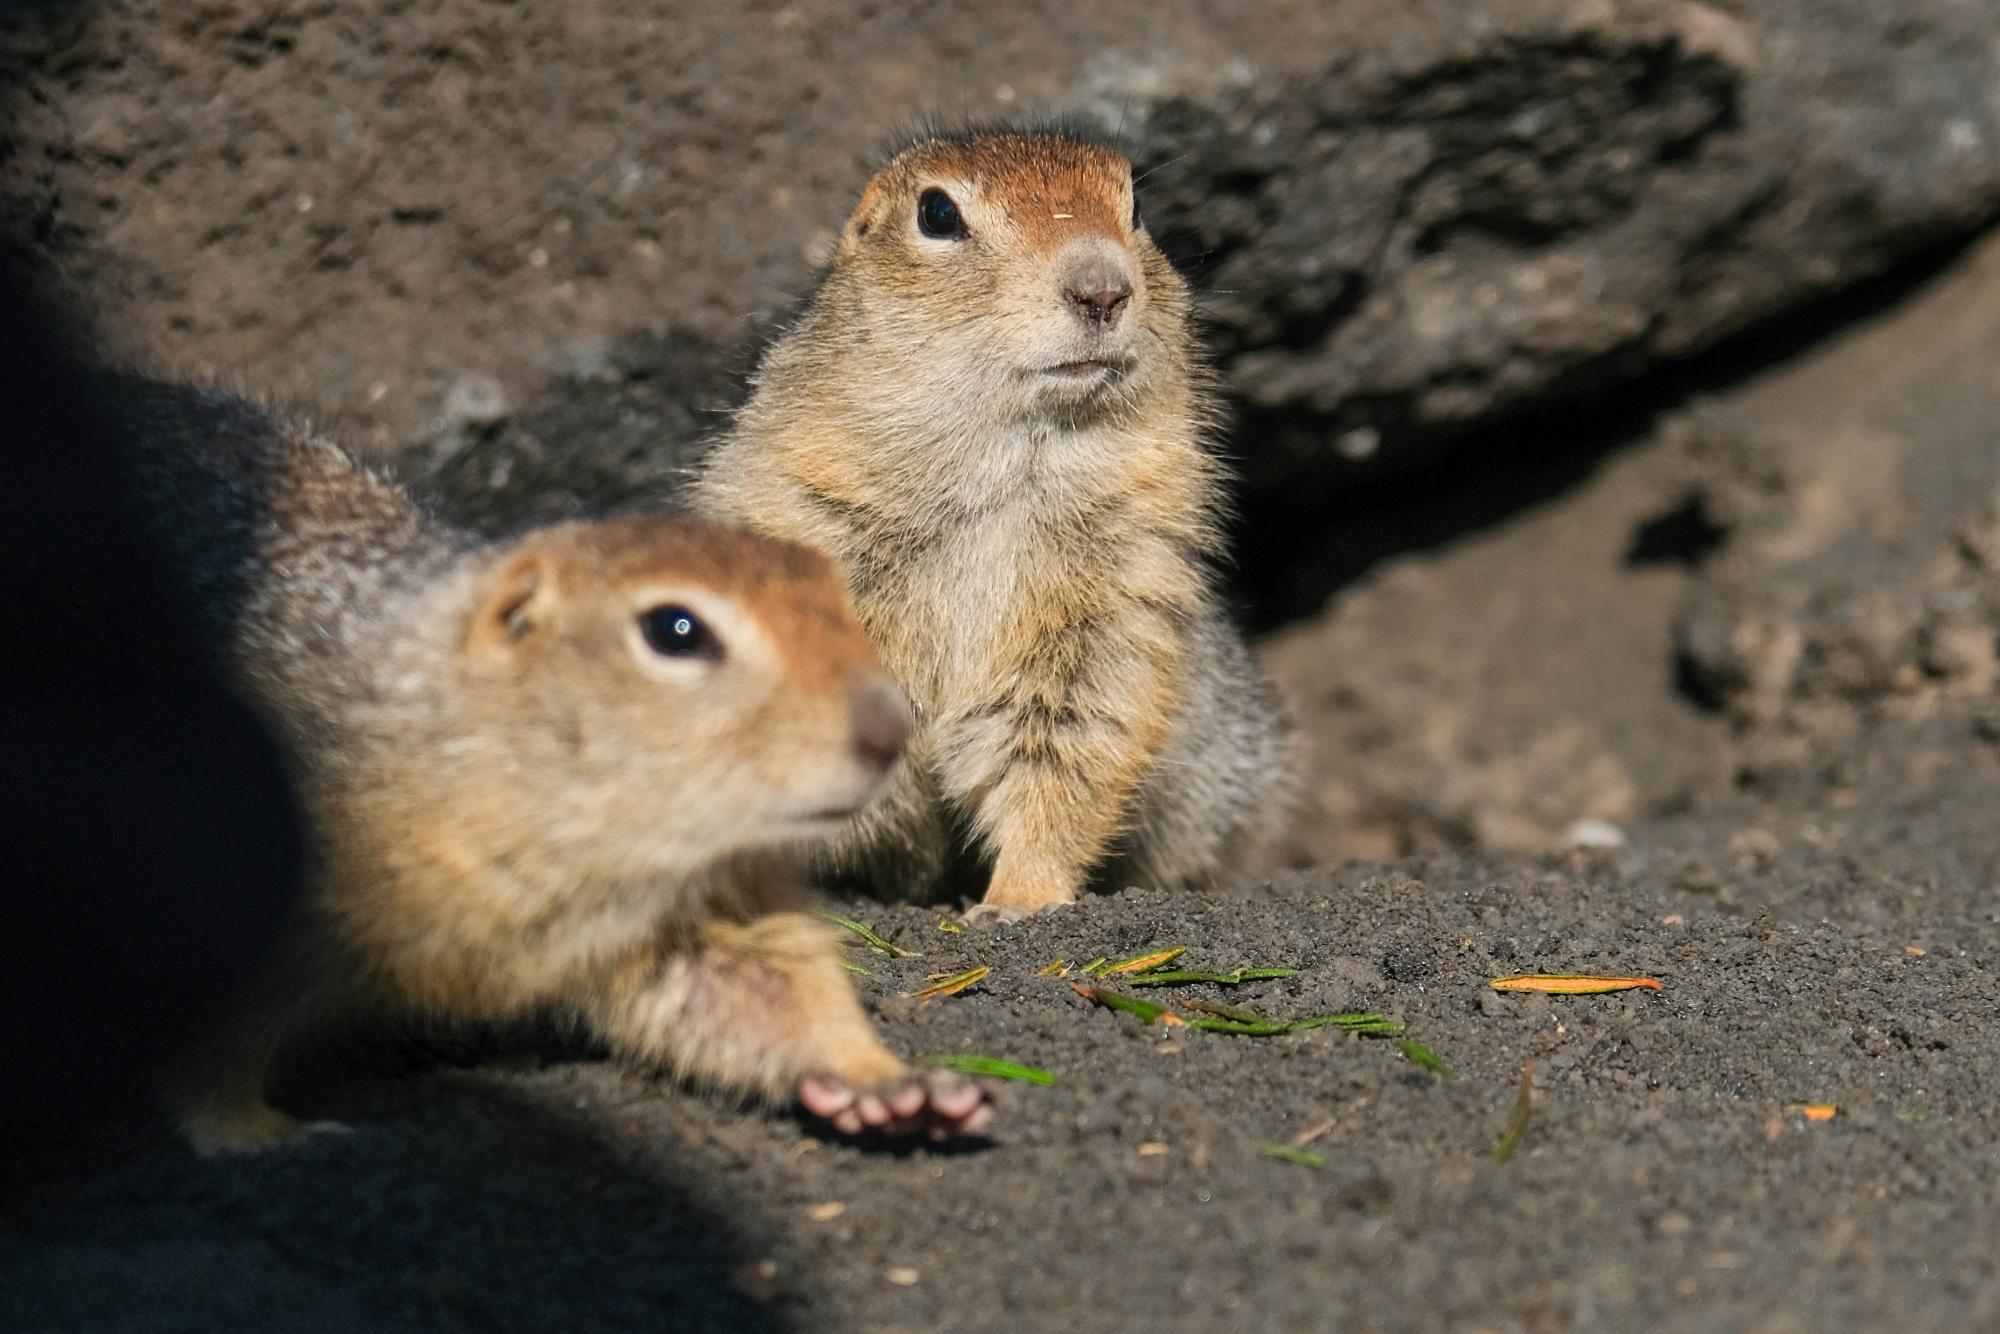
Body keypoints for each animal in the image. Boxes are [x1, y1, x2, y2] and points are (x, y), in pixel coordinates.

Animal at [113, 374, 988, 1152]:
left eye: (836, 592)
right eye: (675, 630)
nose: (891, 728)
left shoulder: (685, 907)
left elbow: (761, 990)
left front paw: (887, 1084)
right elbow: (210, 1052)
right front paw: (271, 1139)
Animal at [700, 125, 1296, 920]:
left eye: (1136, 207)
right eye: (937, 214)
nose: (1103, 288)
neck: (1009, 464)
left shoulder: (1119, 601)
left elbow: (1071, 744)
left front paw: (1019, 900)